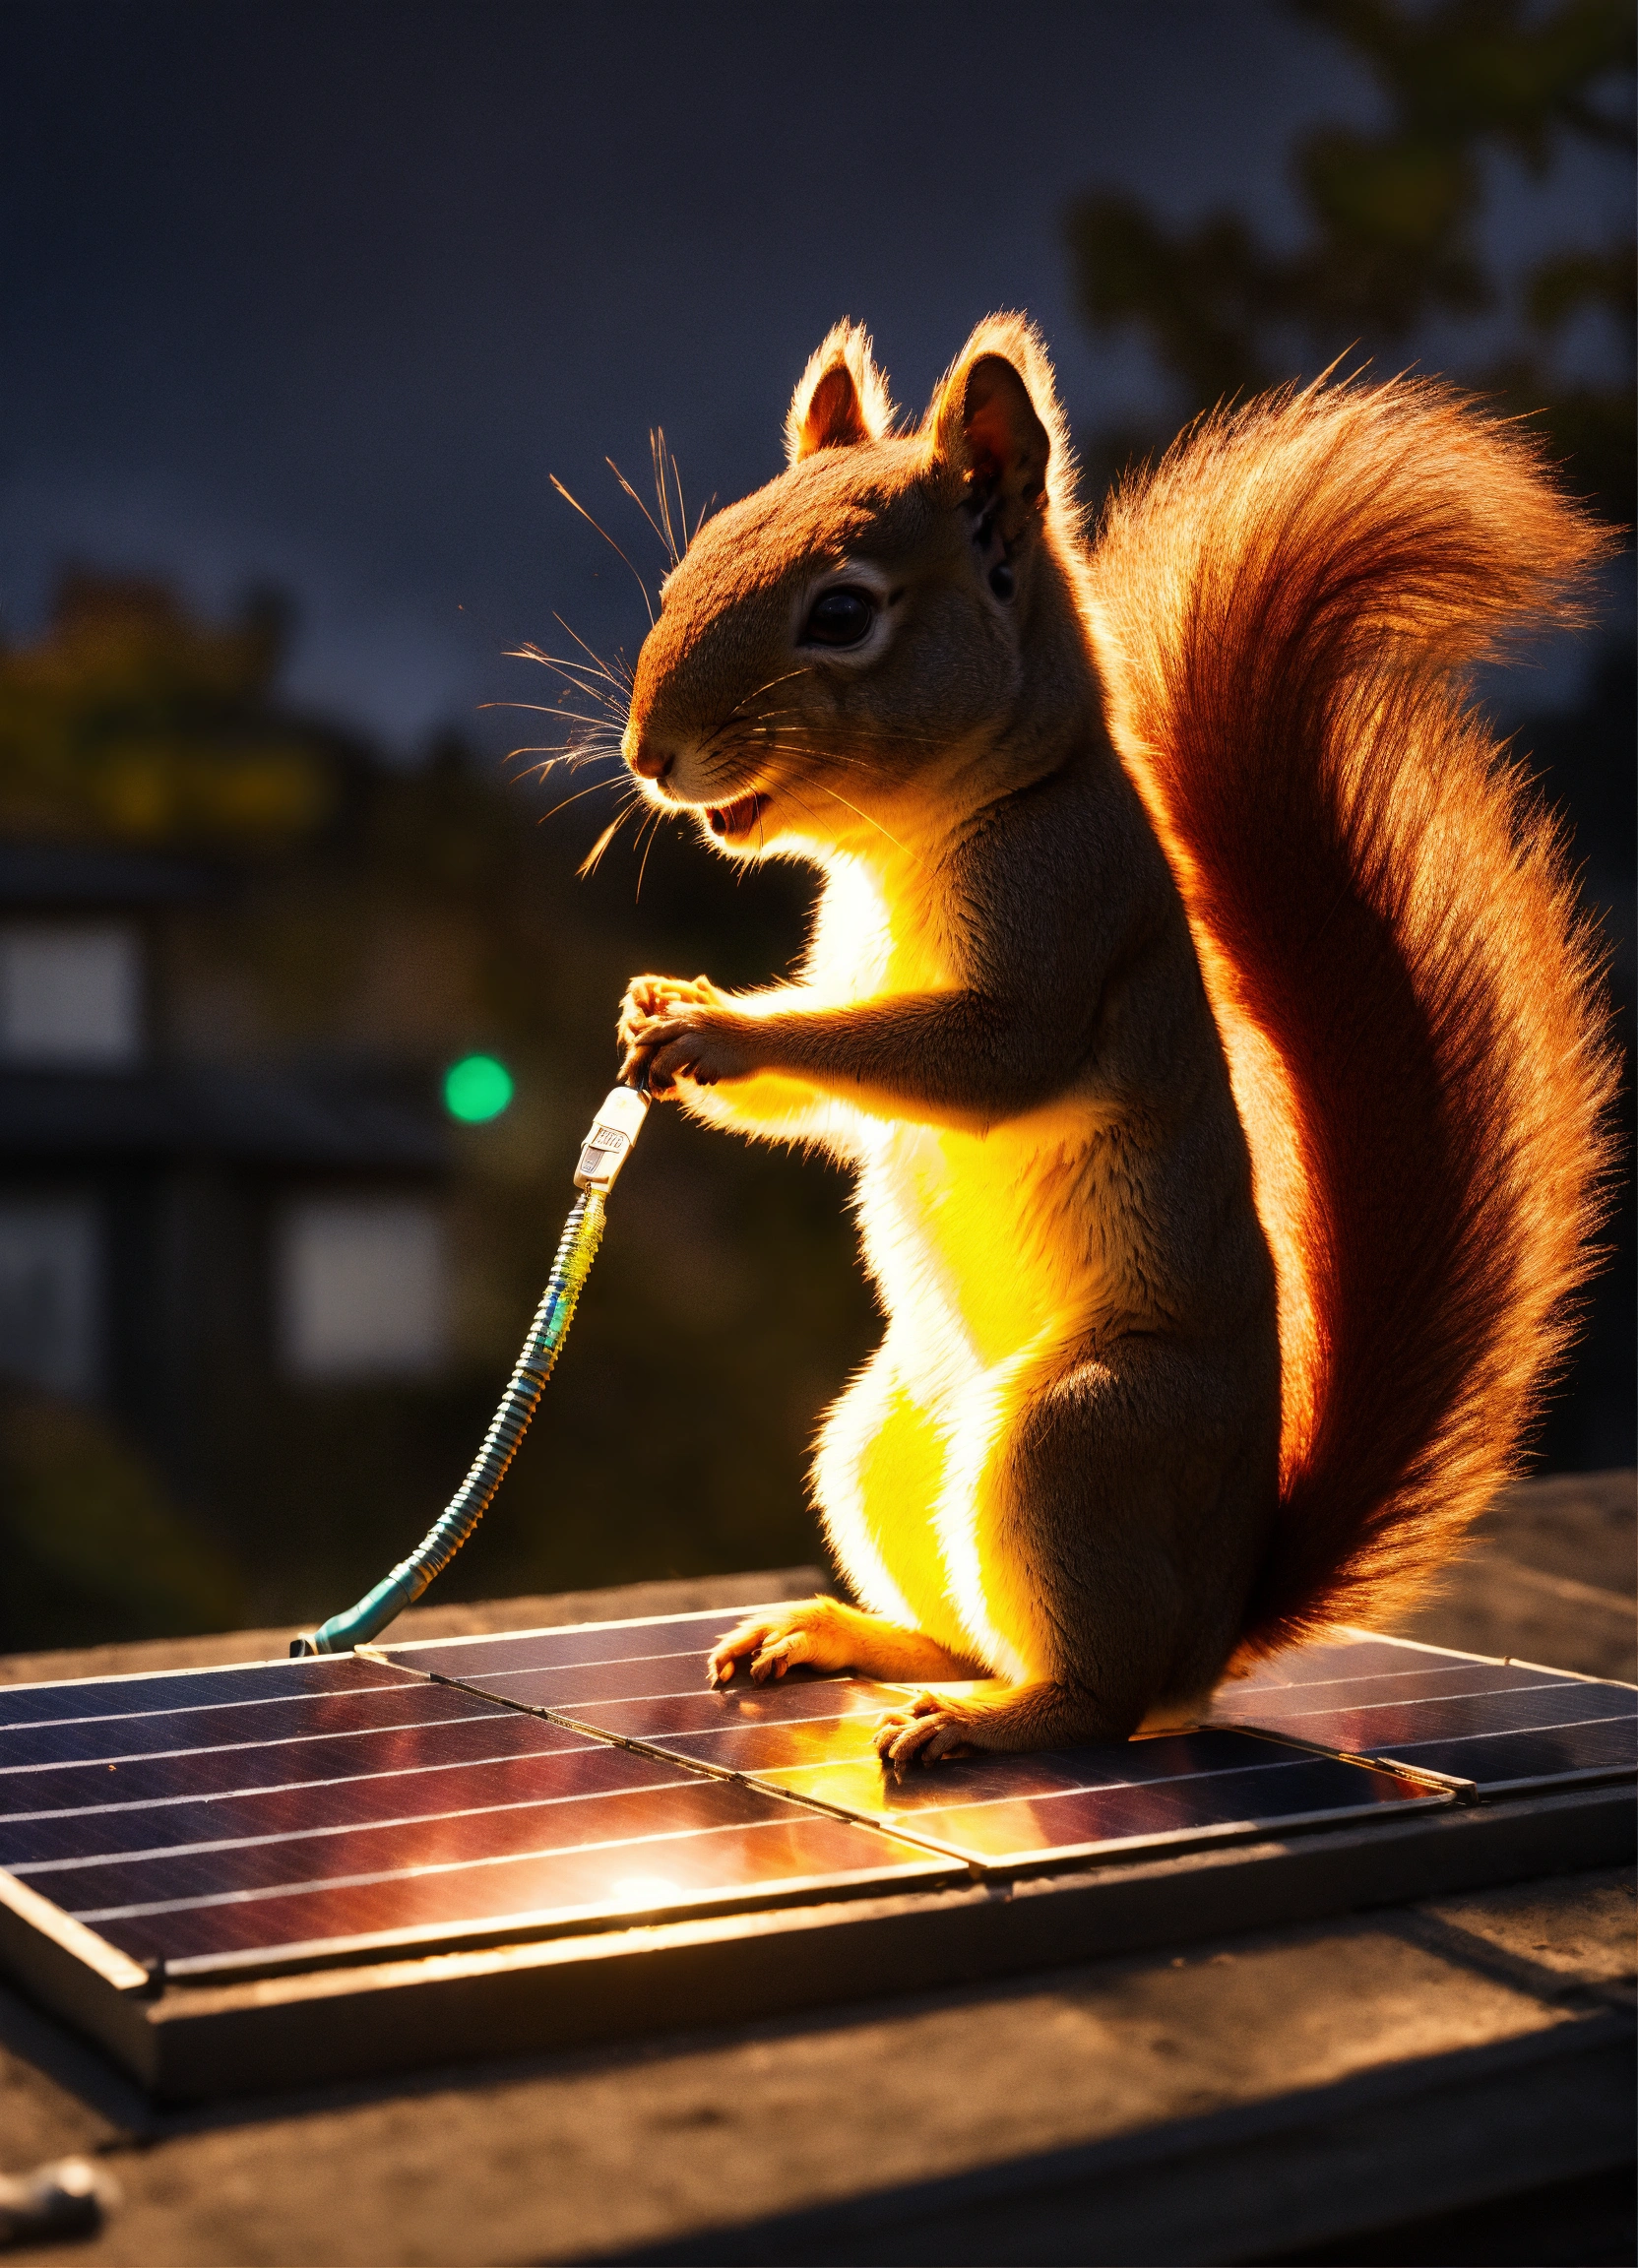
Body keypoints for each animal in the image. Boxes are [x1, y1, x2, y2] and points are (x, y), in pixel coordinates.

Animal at [615, 313, 1615, 1770]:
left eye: (842, 612)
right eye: (690, 563)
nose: (650, 752)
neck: (907, 842)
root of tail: (1220, 1619)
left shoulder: (1058, 920)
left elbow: (976, 1060)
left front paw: (712, 1026)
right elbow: (836, 1106)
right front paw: (660, 1008)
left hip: (1081, 1438)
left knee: (1091, 1692)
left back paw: (987, 1723)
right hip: (881, 1435)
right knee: (968, 1630)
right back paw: (846, 1639)